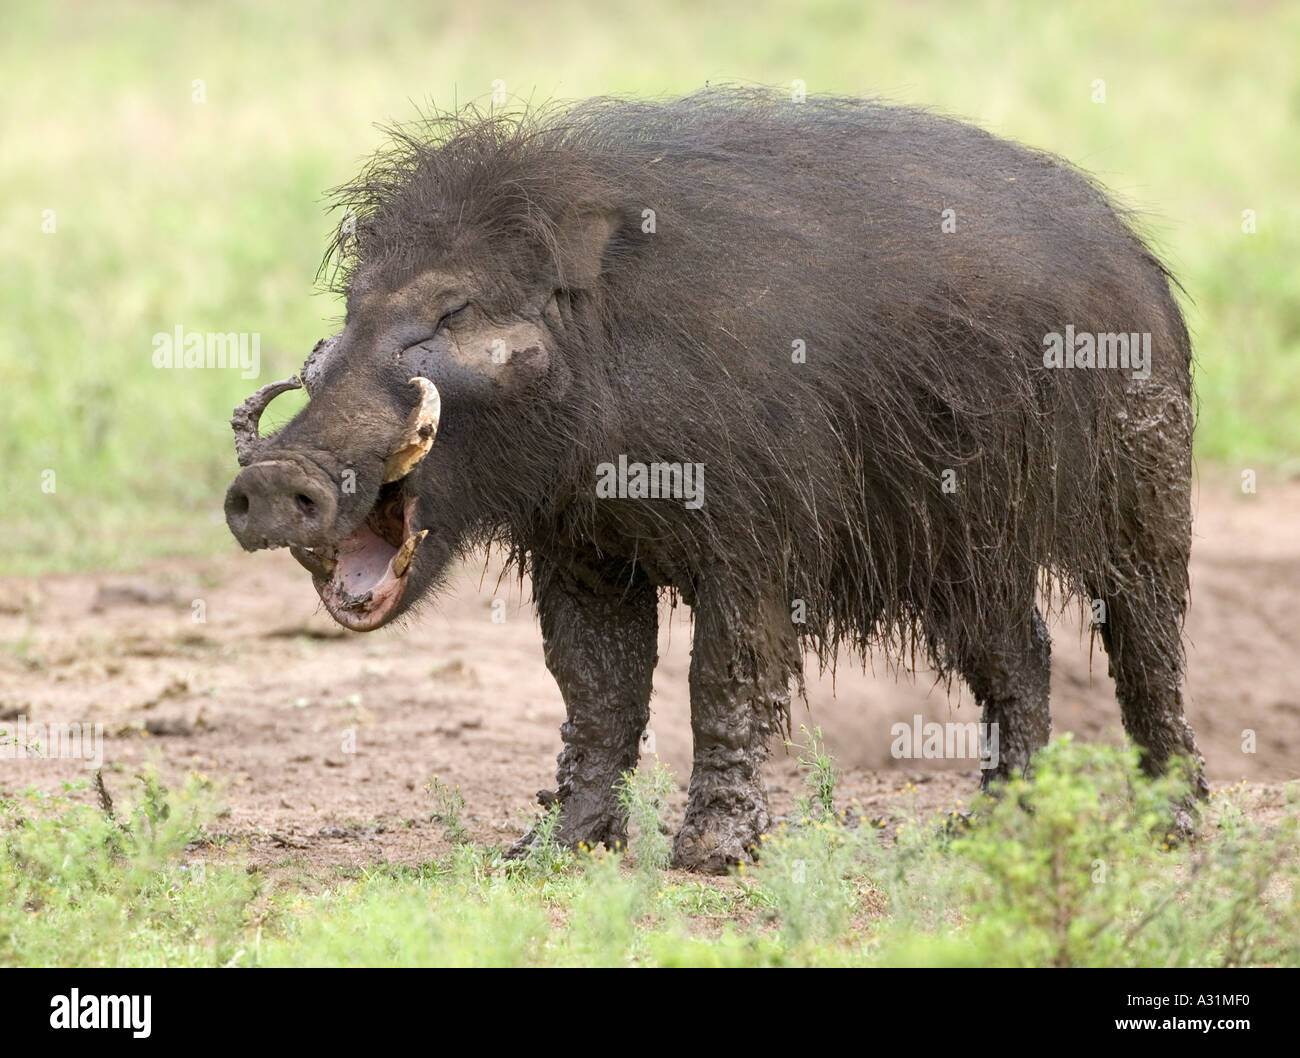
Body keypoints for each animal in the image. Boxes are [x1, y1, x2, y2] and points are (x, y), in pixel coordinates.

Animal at [224, 88, 1206, 872]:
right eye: (352, 308)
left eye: (453, 308)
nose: (273, 479)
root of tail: (1140, 265)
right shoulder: (584, 555)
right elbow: (597, 694)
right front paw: (548, 851)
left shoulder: (755, 547)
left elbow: (723, 682)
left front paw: (711, 855)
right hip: (966, 554)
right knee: (1022, 654)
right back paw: (989, 830)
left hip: (1144, 502)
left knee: (1148, 653)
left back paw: (1176, 827)